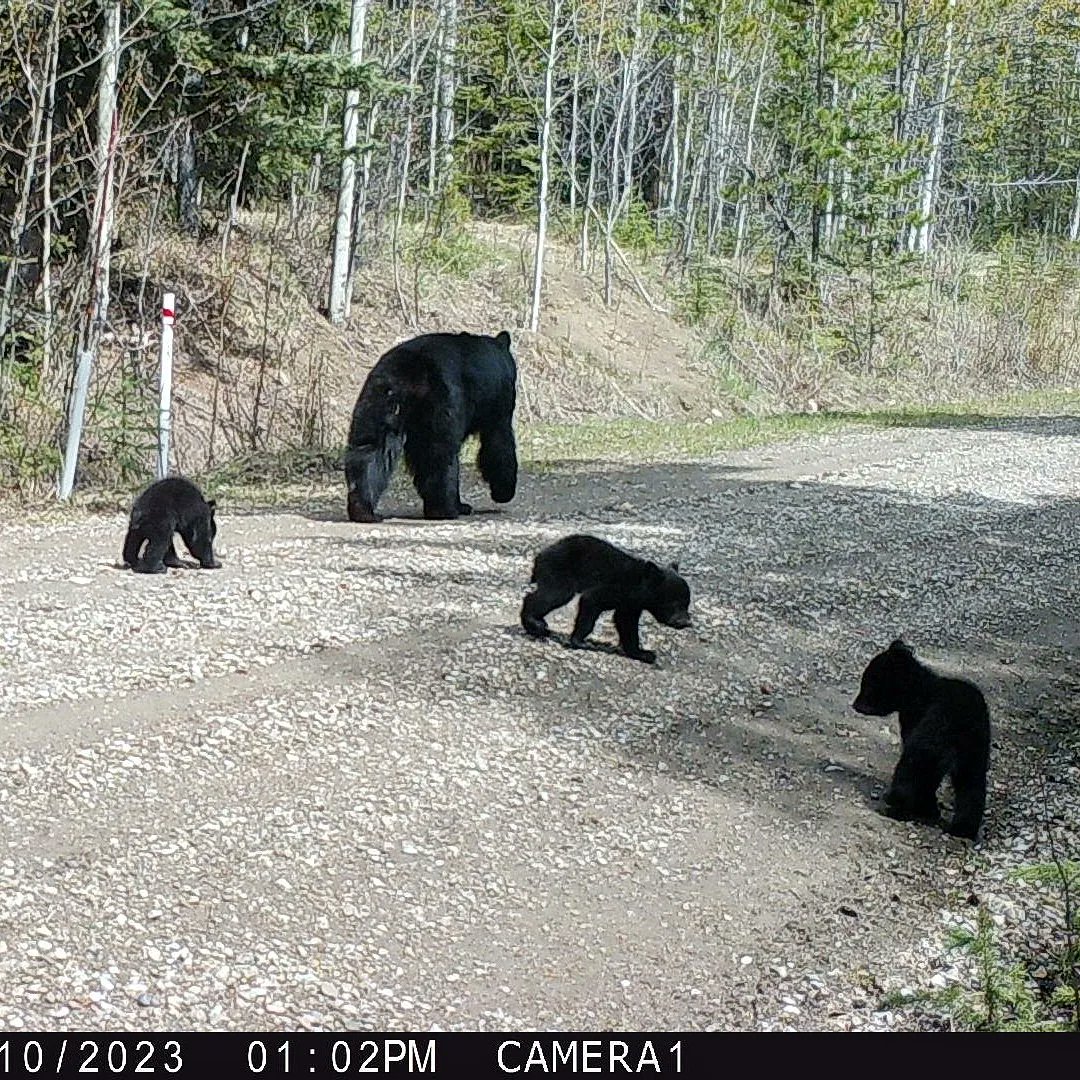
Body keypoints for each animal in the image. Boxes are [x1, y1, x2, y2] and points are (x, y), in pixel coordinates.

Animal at [343, 330, 518, 523]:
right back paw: (445, 509)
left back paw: (363, 510)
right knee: (439, 454)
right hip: (442, 400)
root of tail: (411, 370)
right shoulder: (499, 401)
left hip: (380, 400)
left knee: (370, 449)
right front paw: (504, 491)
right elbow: (498, 441)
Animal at [520, 534, 692, 664]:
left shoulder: (631, 603)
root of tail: (539, 556)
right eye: (673, 603)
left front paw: (643, 653)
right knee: (554, 594)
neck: (639, 585)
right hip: (560, 570)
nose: (686, 622)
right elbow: (591, 601)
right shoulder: (616, 587)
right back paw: (535, 623)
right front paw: (580, 641)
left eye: (687, 603)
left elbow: (626, 622)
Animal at [852, 638, 991, 841]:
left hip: (931, 740)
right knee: (972, 786)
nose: (855, 704)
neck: (917, 690)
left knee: (913, 771)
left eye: (868, 683)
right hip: (975, 752)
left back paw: (895, 805)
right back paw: (962, 829)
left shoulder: (913, 720)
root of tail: (962, 724)